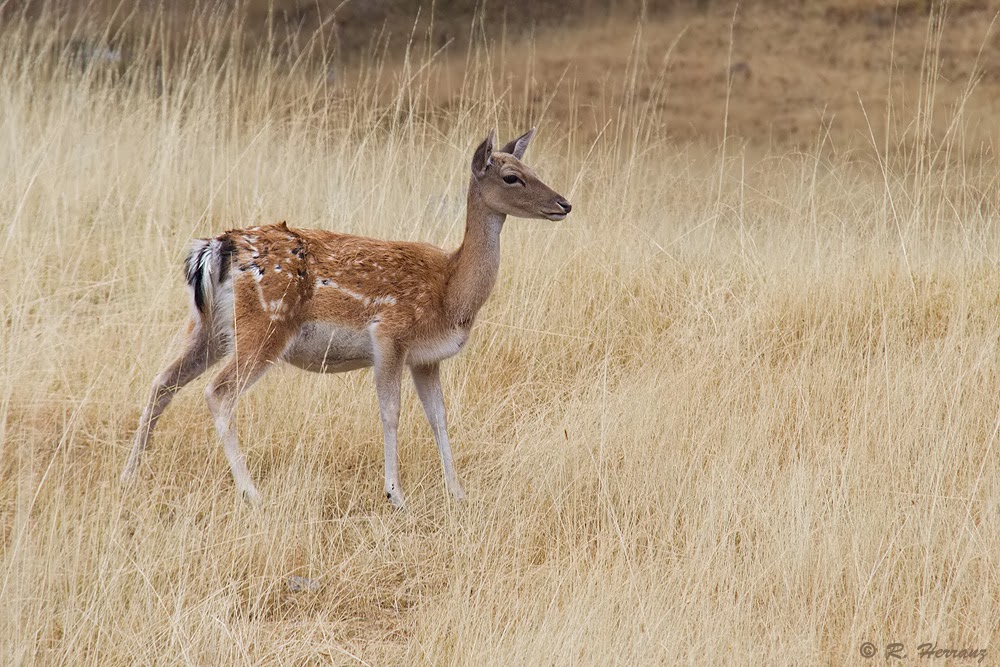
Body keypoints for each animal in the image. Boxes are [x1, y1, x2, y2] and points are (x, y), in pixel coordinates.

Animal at [120, 128, 572, 508]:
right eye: (512, 177)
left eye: (533, 169)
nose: (564, 204)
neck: (451, 291)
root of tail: (213, 249)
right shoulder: (390, 334)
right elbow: (391, 411)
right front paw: (395, 495)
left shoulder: (427, 358)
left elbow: (439, 417)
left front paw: (458, 493)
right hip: (265, 325)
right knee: (218, 392)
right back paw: (253, 493)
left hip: (207, 327)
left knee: (163, 380)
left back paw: (130, 474)